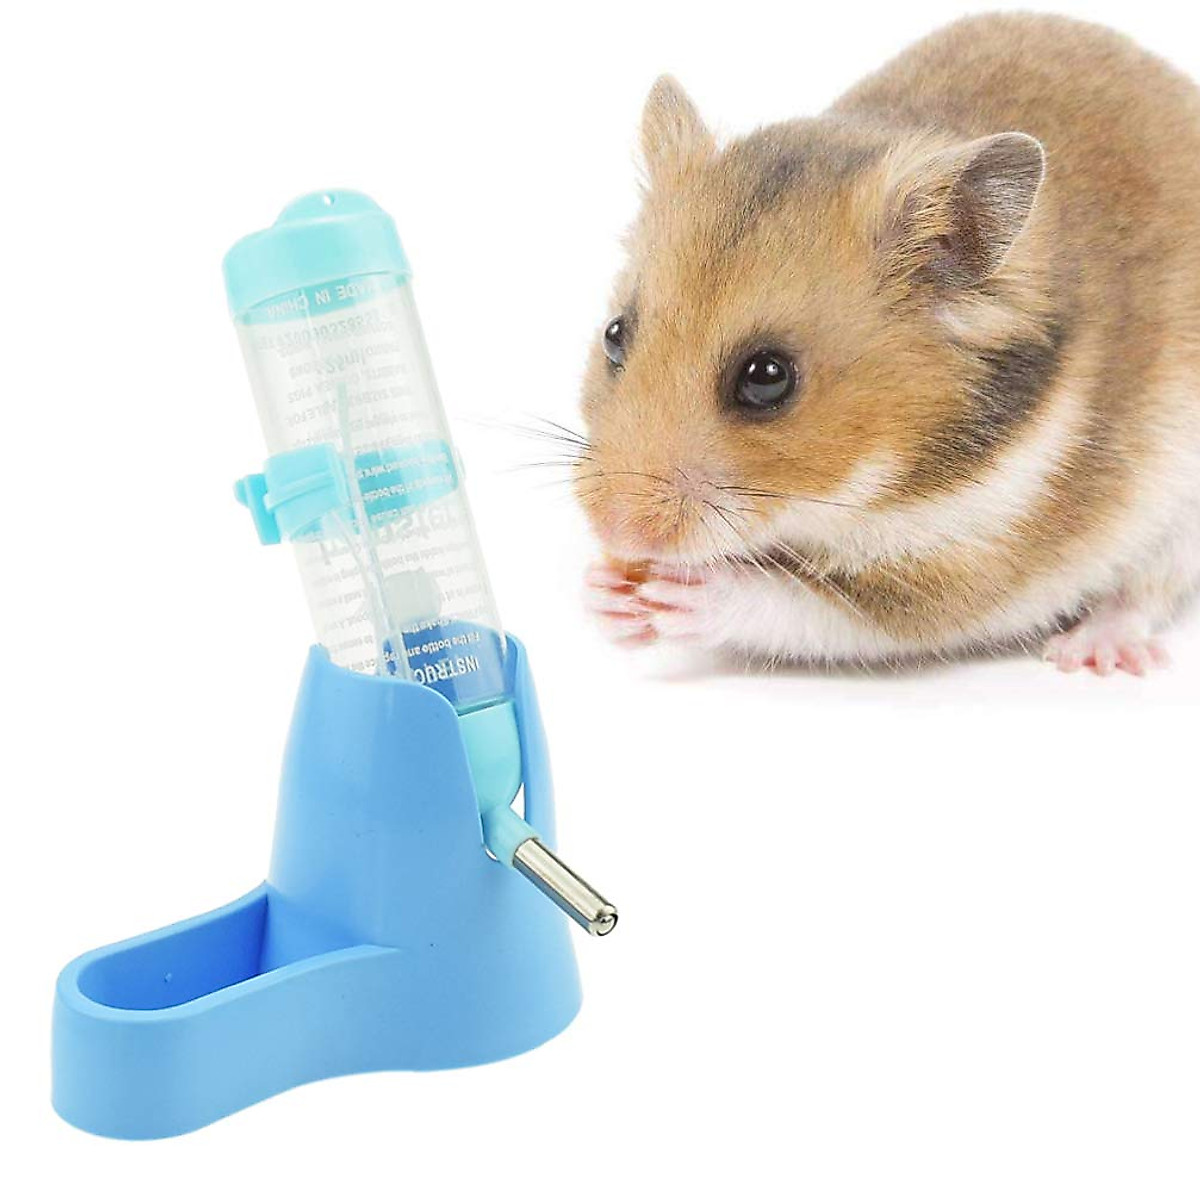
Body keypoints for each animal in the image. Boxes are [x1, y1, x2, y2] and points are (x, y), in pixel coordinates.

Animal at [574, 14, 1200, 675]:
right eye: (615, 335)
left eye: (768, 377)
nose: (615, 530)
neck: (877, 489)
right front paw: (604, 593)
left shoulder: (957, 568)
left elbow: (800, 604)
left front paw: (685, 592)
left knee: (1143, 594)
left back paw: (1090, 653)